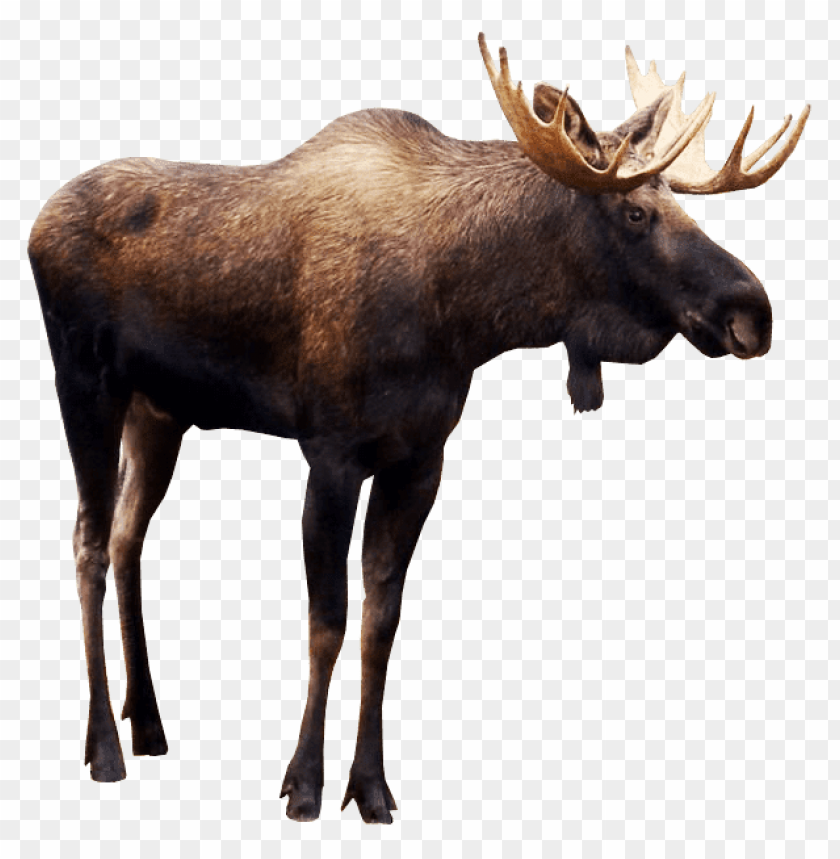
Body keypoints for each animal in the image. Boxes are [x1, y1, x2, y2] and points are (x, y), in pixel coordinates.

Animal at [28, 34, 809, 823]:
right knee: (88, 540)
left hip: (160, 411)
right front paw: (303, 783)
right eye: (635, 214)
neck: (467, 310)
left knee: (127, 537)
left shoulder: (420, 458)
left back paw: (149, 722)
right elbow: (327, 621)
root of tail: (36, 222)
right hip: (85, 386)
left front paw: (370, 786)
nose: (753, 312)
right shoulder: (333, 455)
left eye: (675, 204)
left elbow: (382, 621)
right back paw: (104, 746)